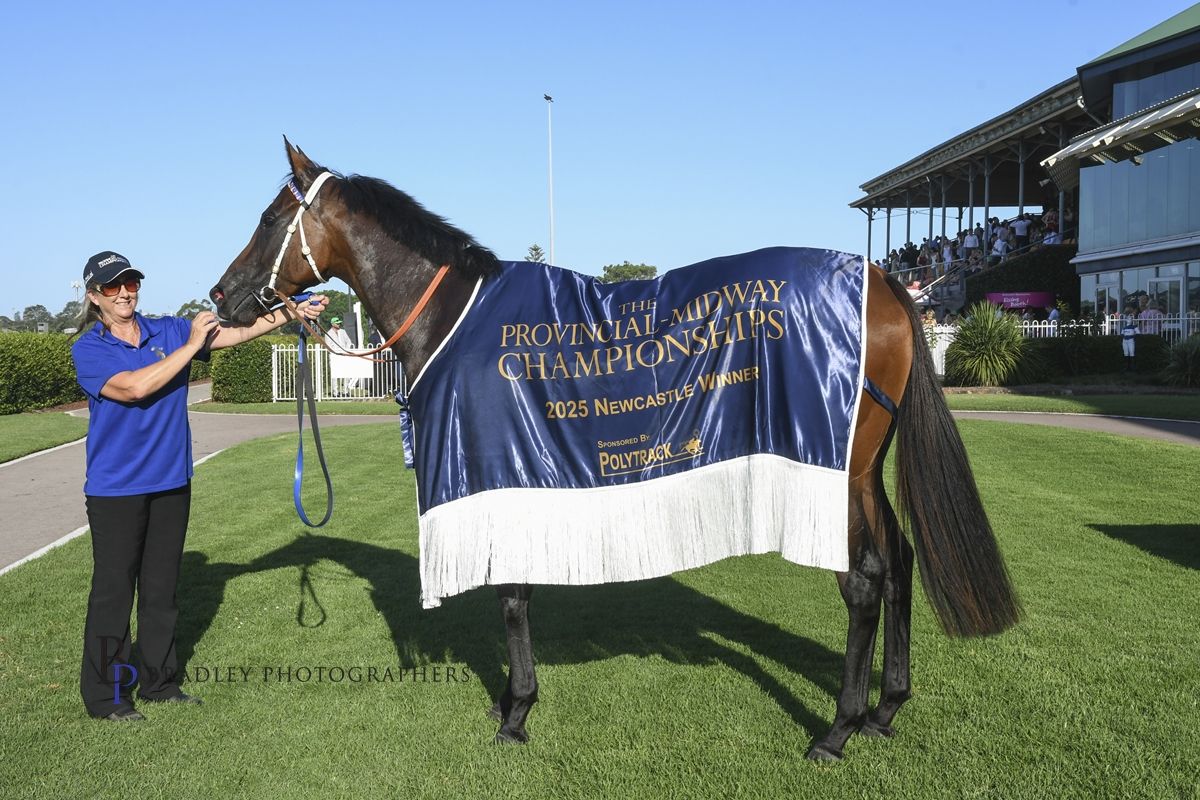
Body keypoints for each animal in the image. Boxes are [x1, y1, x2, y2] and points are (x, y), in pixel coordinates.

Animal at [209, 140, 1020, 761]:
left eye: (270, 217)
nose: (221, 298)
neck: (455, 317)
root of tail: (881, 279)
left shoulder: (495, 472)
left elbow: (512, 595)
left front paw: (516, 712)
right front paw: (512, 703)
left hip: (834, 469)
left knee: (864, 581)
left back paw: (838, 730)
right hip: (864, 470)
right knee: (900, 563)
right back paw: (886, 709)